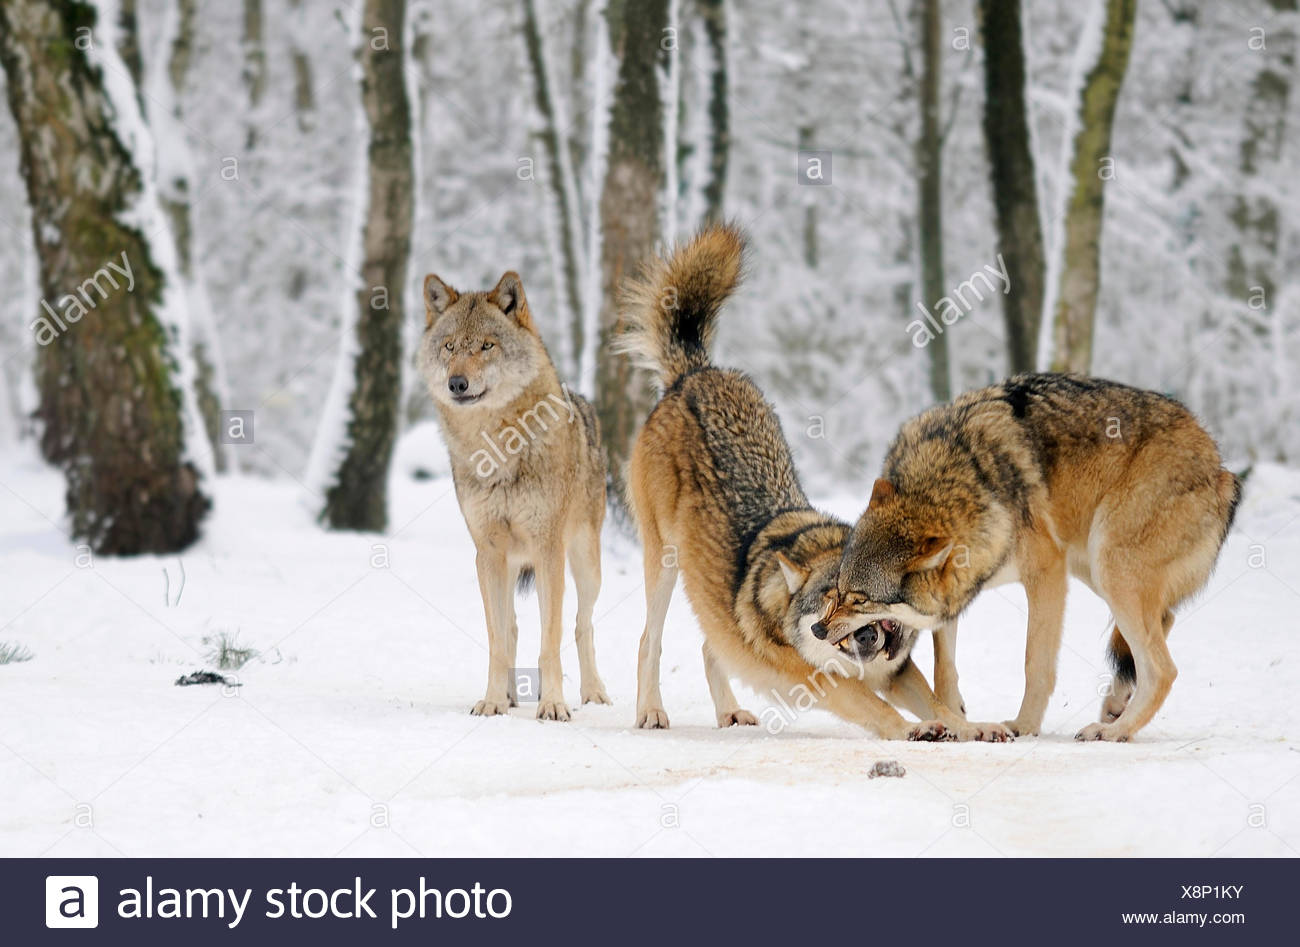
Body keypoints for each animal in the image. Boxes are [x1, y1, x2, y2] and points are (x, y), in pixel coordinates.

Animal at [418, 270, 610, 721]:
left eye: (487, 346)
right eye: (450, 347)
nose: (457, 382)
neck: (497, 447)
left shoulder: (547, 550)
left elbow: (551, 640)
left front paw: (553, 704)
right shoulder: (487, 552)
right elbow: (498, 641)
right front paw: (491, 701)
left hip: (585, 563)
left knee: (582, 623)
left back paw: (593, 693)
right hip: (506, 565)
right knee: (512, 628)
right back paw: (508, 696)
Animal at [619, 225, 1010, 742]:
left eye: (863, 604)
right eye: (827, 603)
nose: (838, 634)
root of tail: (695, 373)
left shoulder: (896, 669)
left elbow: (939, 703)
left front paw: (973, 726)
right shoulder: (823, 679)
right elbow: (880, 709)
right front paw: (915, 730)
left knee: (710, 647)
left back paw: (730, 713)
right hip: (662, 564)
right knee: (648, 640)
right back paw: (650, 711)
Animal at [823, 373, 1241, 742]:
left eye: (860, 600)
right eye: (837, 591)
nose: (819, 631)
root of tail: (1221, 469)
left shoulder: (1047, 572)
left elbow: (1034, 663)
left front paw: (1024, 726)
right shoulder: (958, 591)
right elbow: (944, 666)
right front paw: (957, 715)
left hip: (1110, 565)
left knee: (1162, 669)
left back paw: (1114, 731)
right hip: (1095, 566)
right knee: (1161, 623)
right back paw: (1115, 707)